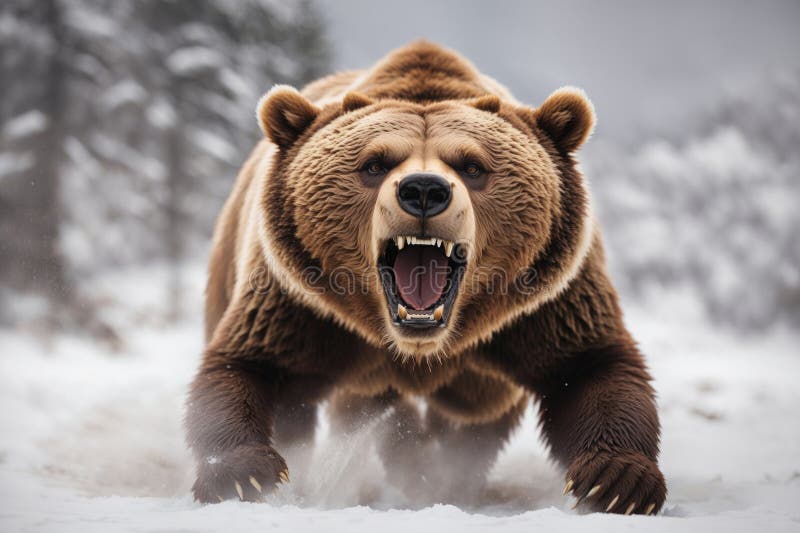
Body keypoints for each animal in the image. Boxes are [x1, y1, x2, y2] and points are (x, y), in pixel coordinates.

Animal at [186, 40, 666, 514]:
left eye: (473, 166)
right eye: (374, 163)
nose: (422, 190)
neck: (419, 343)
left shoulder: (544, 303)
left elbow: (591, 366)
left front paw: (618, 480)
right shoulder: (302, 302)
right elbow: (251, 365)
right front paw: (242, 473)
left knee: (476, 418)